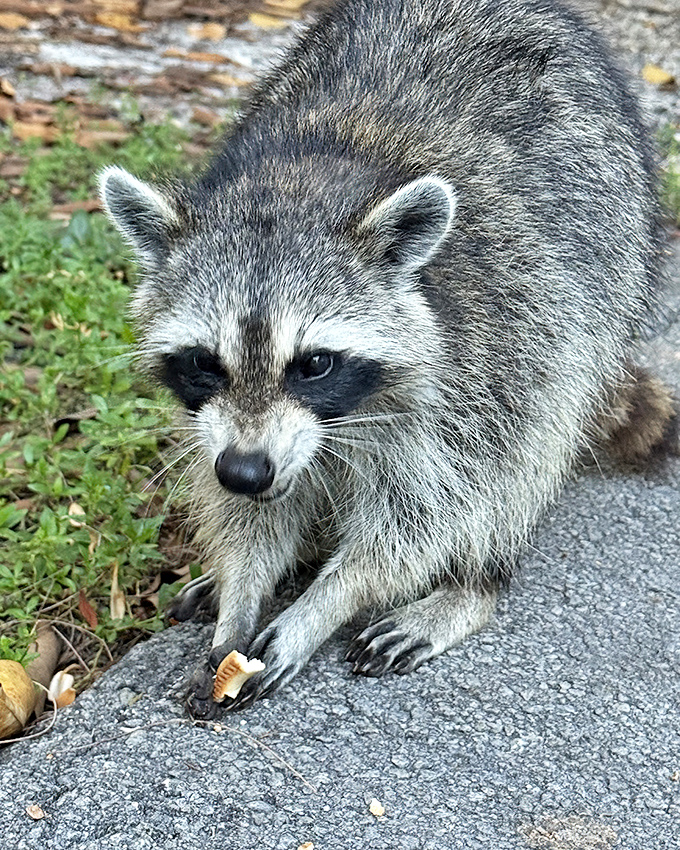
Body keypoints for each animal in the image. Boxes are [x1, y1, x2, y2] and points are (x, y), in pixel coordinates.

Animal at [99, 0, 674, 717]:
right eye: (206, 361)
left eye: (314, 363)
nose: (246, 471)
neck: (297, 185)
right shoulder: (223, 427)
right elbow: (247, 513)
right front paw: (242, 586)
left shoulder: (489, 352)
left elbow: (427, 515)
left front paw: (327, 601)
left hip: (604, 285)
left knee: (534, 448)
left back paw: (474, 583)